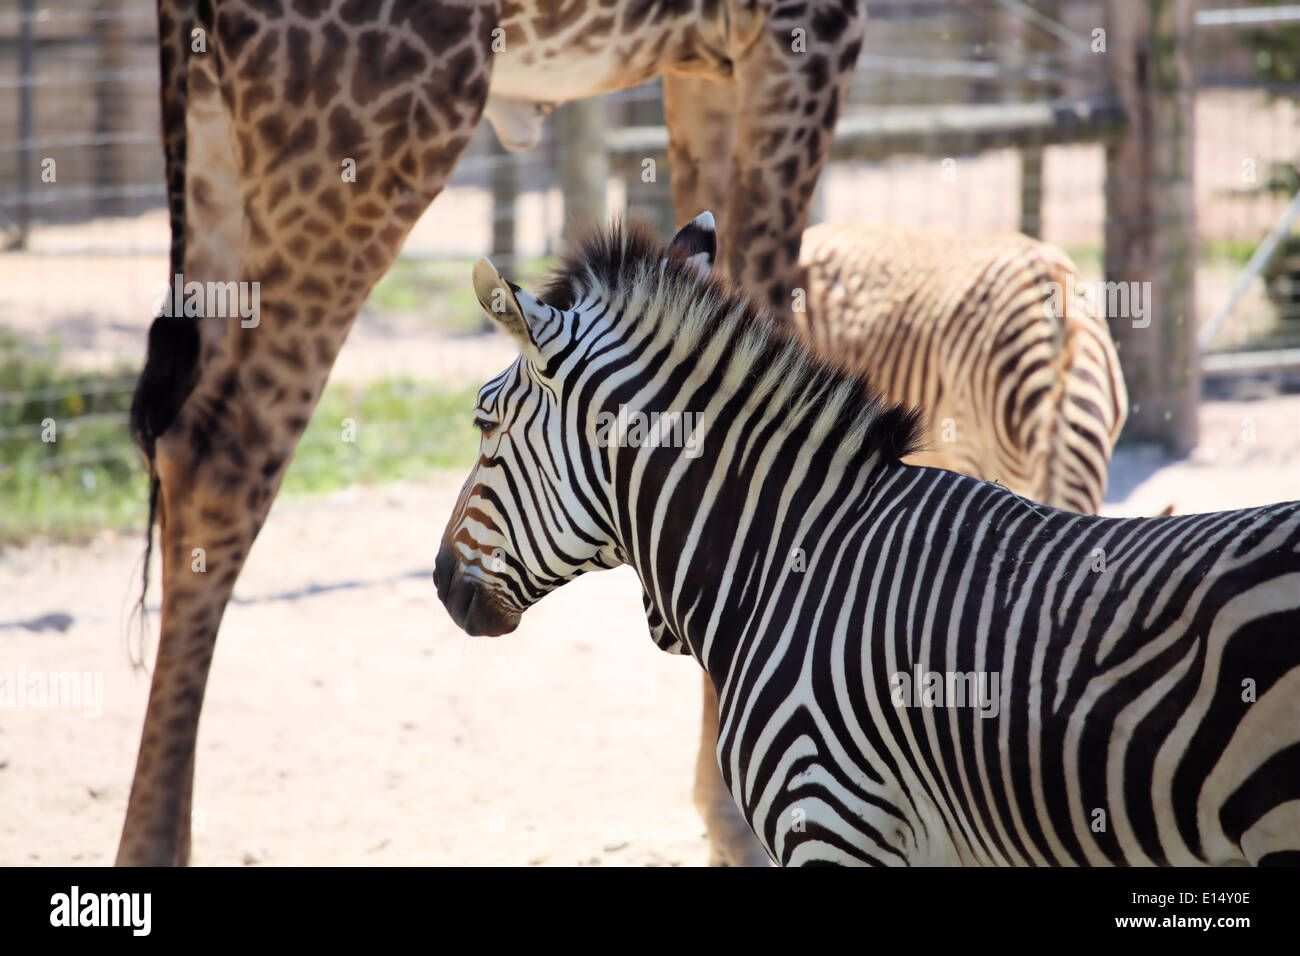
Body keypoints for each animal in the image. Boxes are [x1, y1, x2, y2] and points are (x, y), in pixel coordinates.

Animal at [118, 0, 864, 867]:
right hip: (372, 133)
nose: (447, 577)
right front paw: (742, 826)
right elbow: (759, 329)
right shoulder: (801, 35)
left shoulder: (704, 68)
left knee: (176, 448)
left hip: (216, 144)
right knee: (224, 456)